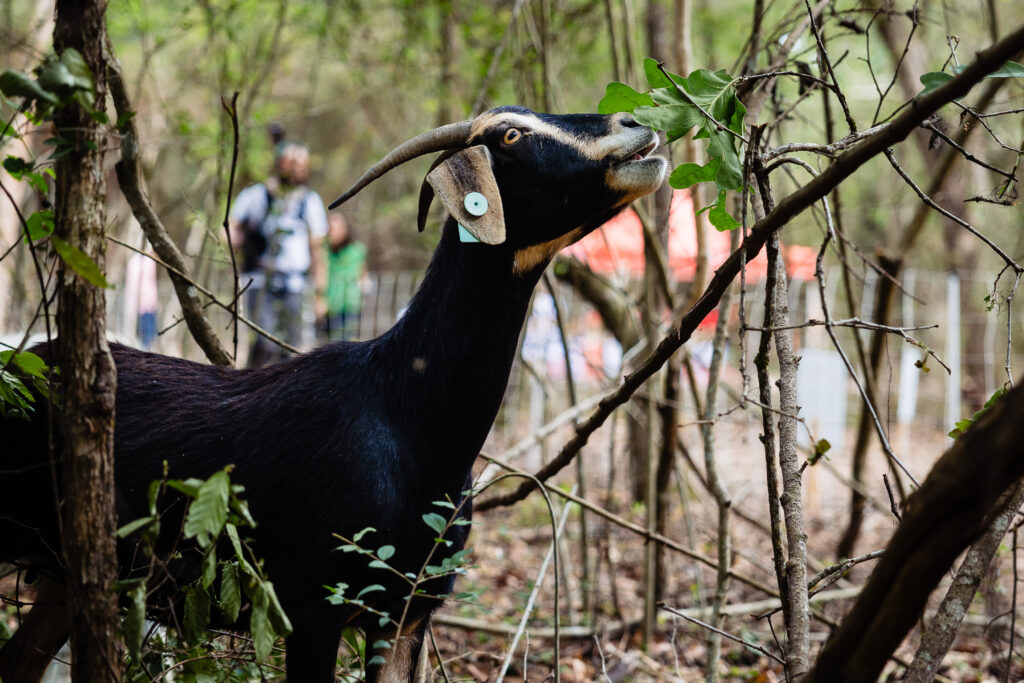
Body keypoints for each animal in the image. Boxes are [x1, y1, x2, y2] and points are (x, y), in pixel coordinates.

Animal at [0, 105, 666, 682]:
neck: (412, 419)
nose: (634, 122)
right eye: (510, 135)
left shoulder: (406, 614)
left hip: (62, 577)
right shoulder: (312, 610)